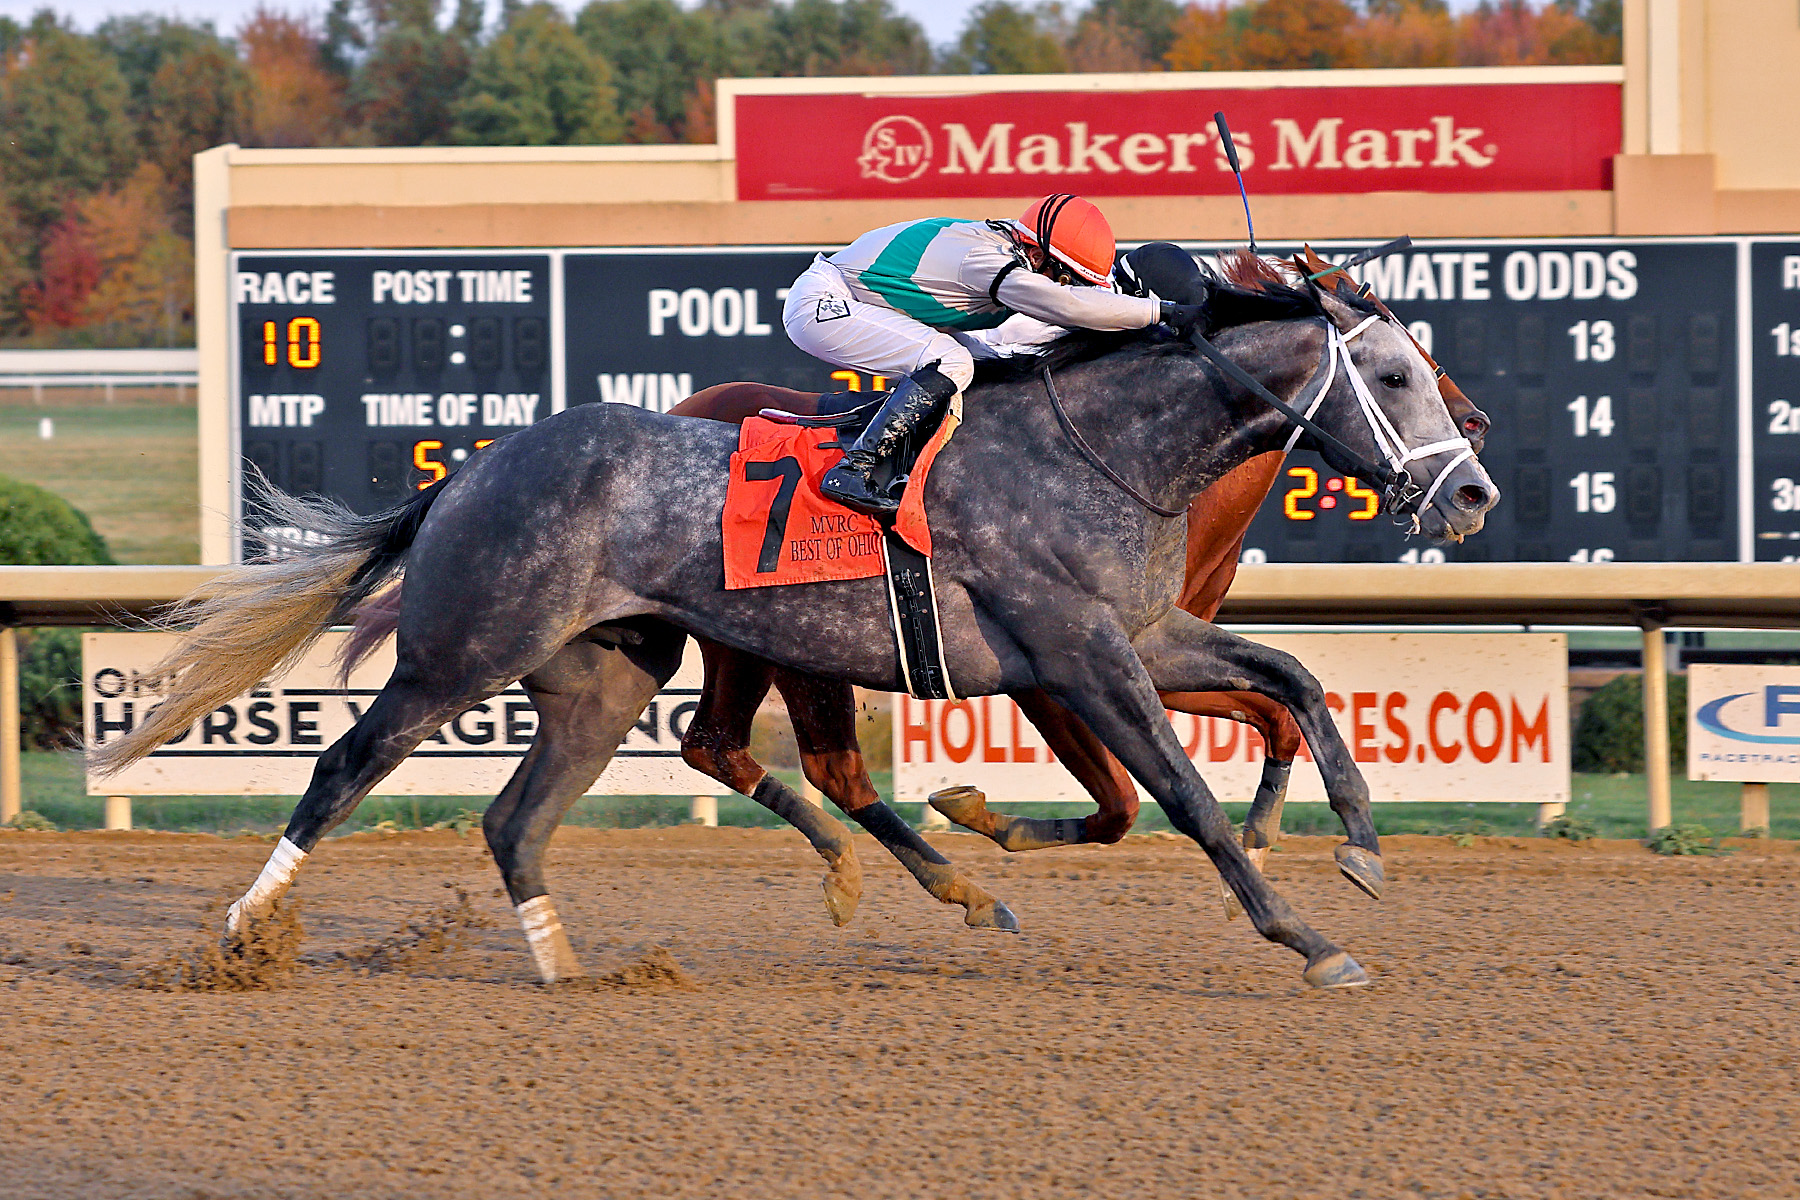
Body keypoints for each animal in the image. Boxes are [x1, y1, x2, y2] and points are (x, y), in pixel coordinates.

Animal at [93, 269, 1496, 991]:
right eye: (1391, 373)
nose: (1475, 488)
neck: (1104, 449)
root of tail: (474, 469)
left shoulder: (1143, 634)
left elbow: (1294, 677)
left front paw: (1361, 849)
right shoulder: (1081, 656)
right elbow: (1181, 799)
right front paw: (1309, 941)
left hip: (605, 678)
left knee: (518, 816)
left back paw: (565, 962)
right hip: (465, 648)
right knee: (346, 766)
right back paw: (244, 935)